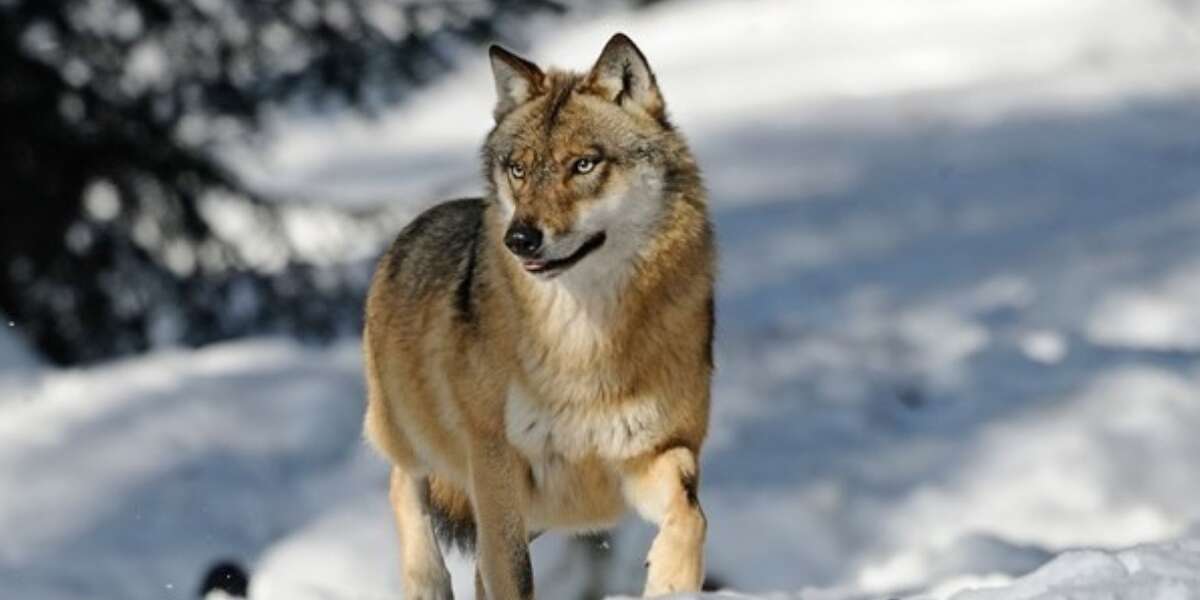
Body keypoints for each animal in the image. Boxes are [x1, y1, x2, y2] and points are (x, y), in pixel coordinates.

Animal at [362, 33, 715, 599]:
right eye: (519, 169)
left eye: (584, 165)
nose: (520, 238)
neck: (584, 342)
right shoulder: (497, 467)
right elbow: (512, 576)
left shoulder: (656, 449)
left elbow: (690, 512)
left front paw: (670, 579)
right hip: (418, 442)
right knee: (404, 483)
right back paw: (427, 581)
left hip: (545, 511)